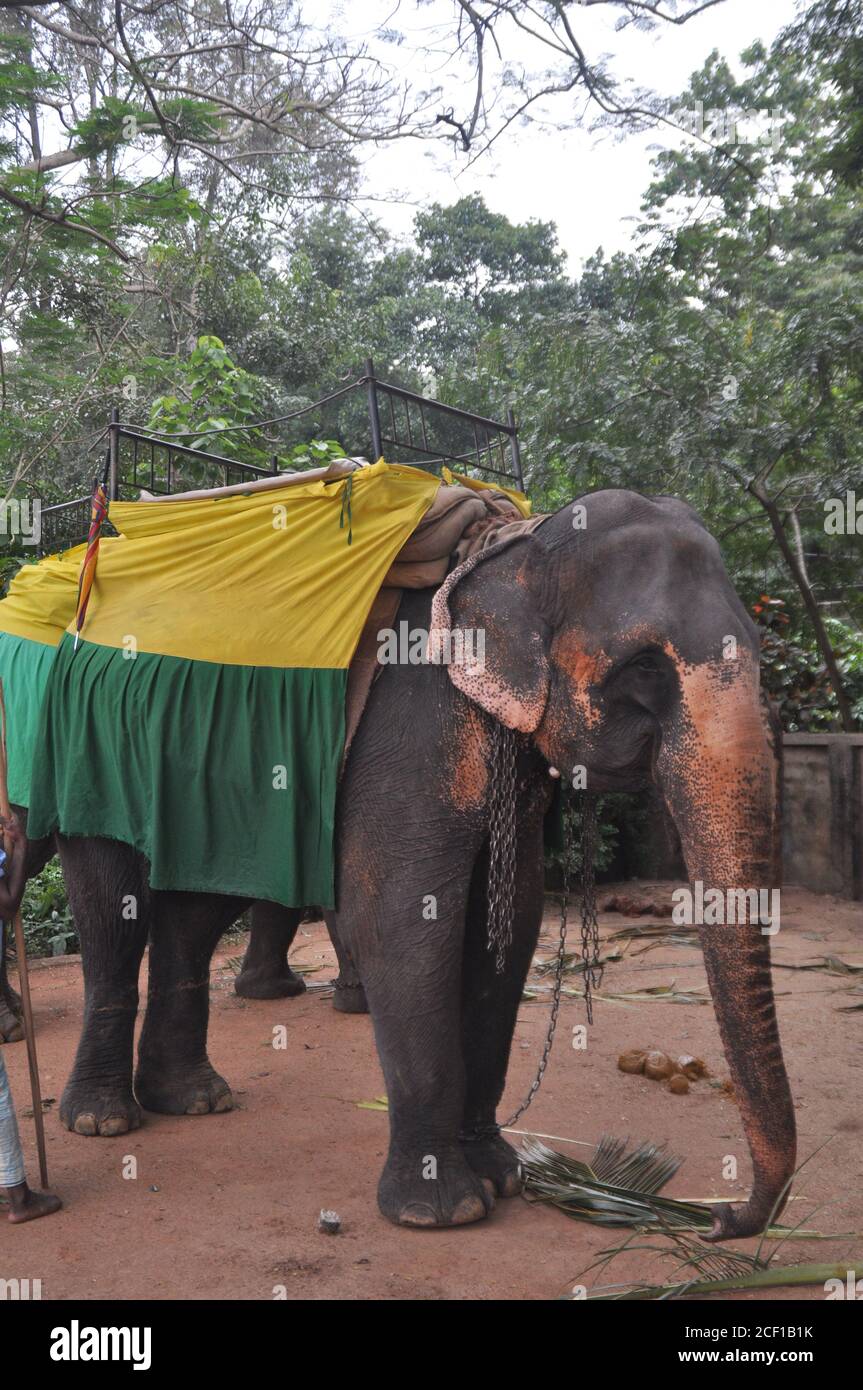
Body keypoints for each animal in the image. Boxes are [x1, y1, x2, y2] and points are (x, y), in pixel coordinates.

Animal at [50, 488, 795, 1238]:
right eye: (645, 665)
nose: (717, 1218)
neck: (516, 544)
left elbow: (510, 921)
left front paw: (503, 1177)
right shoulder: (407, 728)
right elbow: (401, 917)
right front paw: (443, 1212)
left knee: (195, 905)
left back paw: (192, 1100)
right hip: (86, 759)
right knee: (113, 908)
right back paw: (104, 1121)